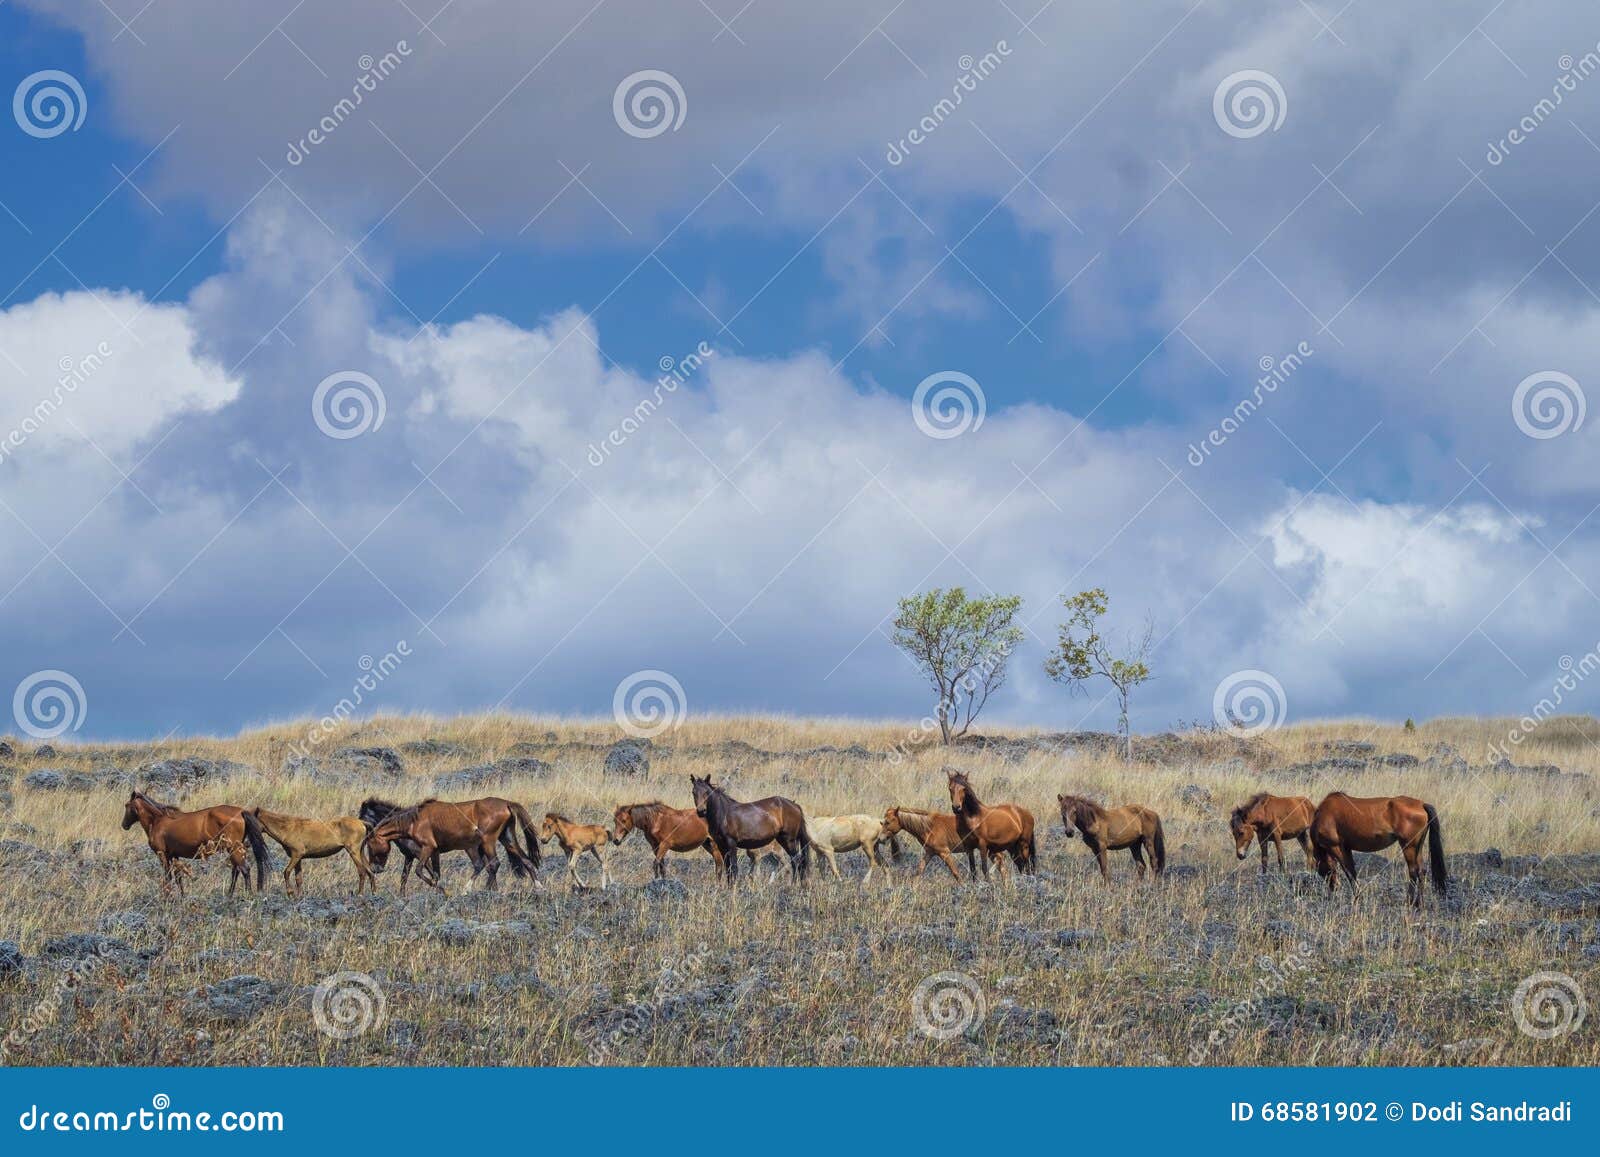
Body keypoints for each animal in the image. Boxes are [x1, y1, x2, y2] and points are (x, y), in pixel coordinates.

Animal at [120, 790, 269, 896]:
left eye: (127, 805)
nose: (124, 825)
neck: (158, 821)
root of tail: (241, 812)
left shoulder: (162, 855)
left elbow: (168, 878)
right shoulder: (174, 856)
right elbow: (178, 878)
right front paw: (182, 897)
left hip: (234, 849)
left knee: (244, 869)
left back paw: (247, 895)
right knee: (236, 870)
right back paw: (229, 895)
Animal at [364, 797, 541, 893]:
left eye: (370, 846)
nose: (375, 869)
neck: (414, 820)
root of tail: (506, 803)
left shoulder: (426, 849)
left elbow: (419, 872)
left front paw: (443, 890)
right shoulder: (432, 852)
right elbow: (433, 874)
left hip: (487, 841)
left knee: (492, 864)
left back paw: (473, 890)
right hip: (507, 839)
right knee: (525, 860)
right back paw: (539, 888)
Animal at [1310, 792, 1446, 907]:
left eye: (1321, 870)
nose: (1333, 887)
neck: (1324, 813)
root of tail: (1421, 804)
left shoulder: (1336, 847)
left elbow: (1349, 873)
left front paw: (1356, 897)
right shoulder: (1346, 849)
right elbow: (1352, 871)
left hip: (1409, 847)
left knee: (1413, 871)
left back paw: (1409, 901)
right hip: (1418, 847)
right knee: (1422, 871)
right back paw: (1419, 902)